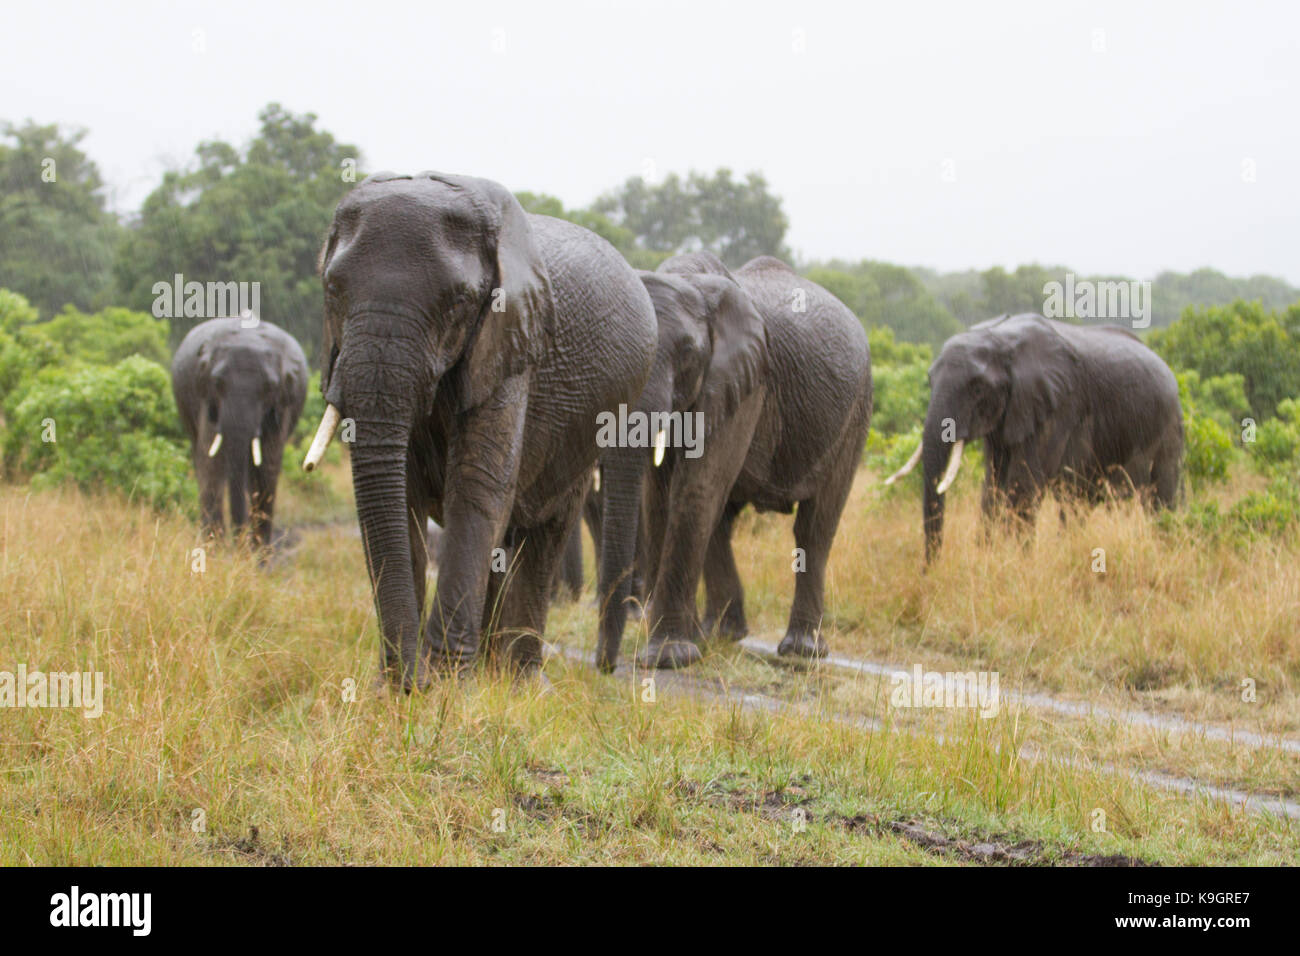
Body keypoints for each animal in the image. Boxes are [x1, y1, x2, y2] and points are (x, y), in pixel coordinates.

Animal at [171, 316, 307, 548]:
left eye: (270, 386)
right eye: (217, 382)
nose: (237, 544)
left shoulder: (281, 405)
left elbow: (267, 468)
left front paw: (258, 555)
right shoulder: (207, 398)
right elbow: (211, 463)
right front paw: (215, 550)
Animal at [304, 171, 657, 688]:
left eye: (460, 303)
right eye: (331, 289)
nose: (409, 682)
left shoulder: (512, 346)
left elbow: (476, 486)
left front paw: (444, 686)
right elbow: (400, 496)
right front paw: (394, 688)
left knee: (543, 531)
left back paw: (520, 682)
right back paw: (492, 672)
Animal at [597, 253, 872, 670]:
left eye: (688, 354)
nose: (606, 667)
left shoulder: (744, 382)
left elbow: (696, 488)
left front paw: (668, 658)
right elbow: (659, 499)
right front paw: (677, 650)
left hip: (855, 412)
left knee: (815, 527)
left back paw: (801, 653)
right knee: (722, 523)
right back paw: (719, 633)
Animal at [884, 313, 1183, 562]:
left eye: (978, 389)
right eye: (929, 380)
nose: (928, 572)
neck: (1001, 337)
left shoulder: (1058, 407)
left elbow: (1023, 485)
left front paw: (1017, 563)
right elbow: (993, 484)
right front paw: (989, 558)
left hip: (1170, 427)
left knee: (1161, 498)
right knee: (1080, 502)